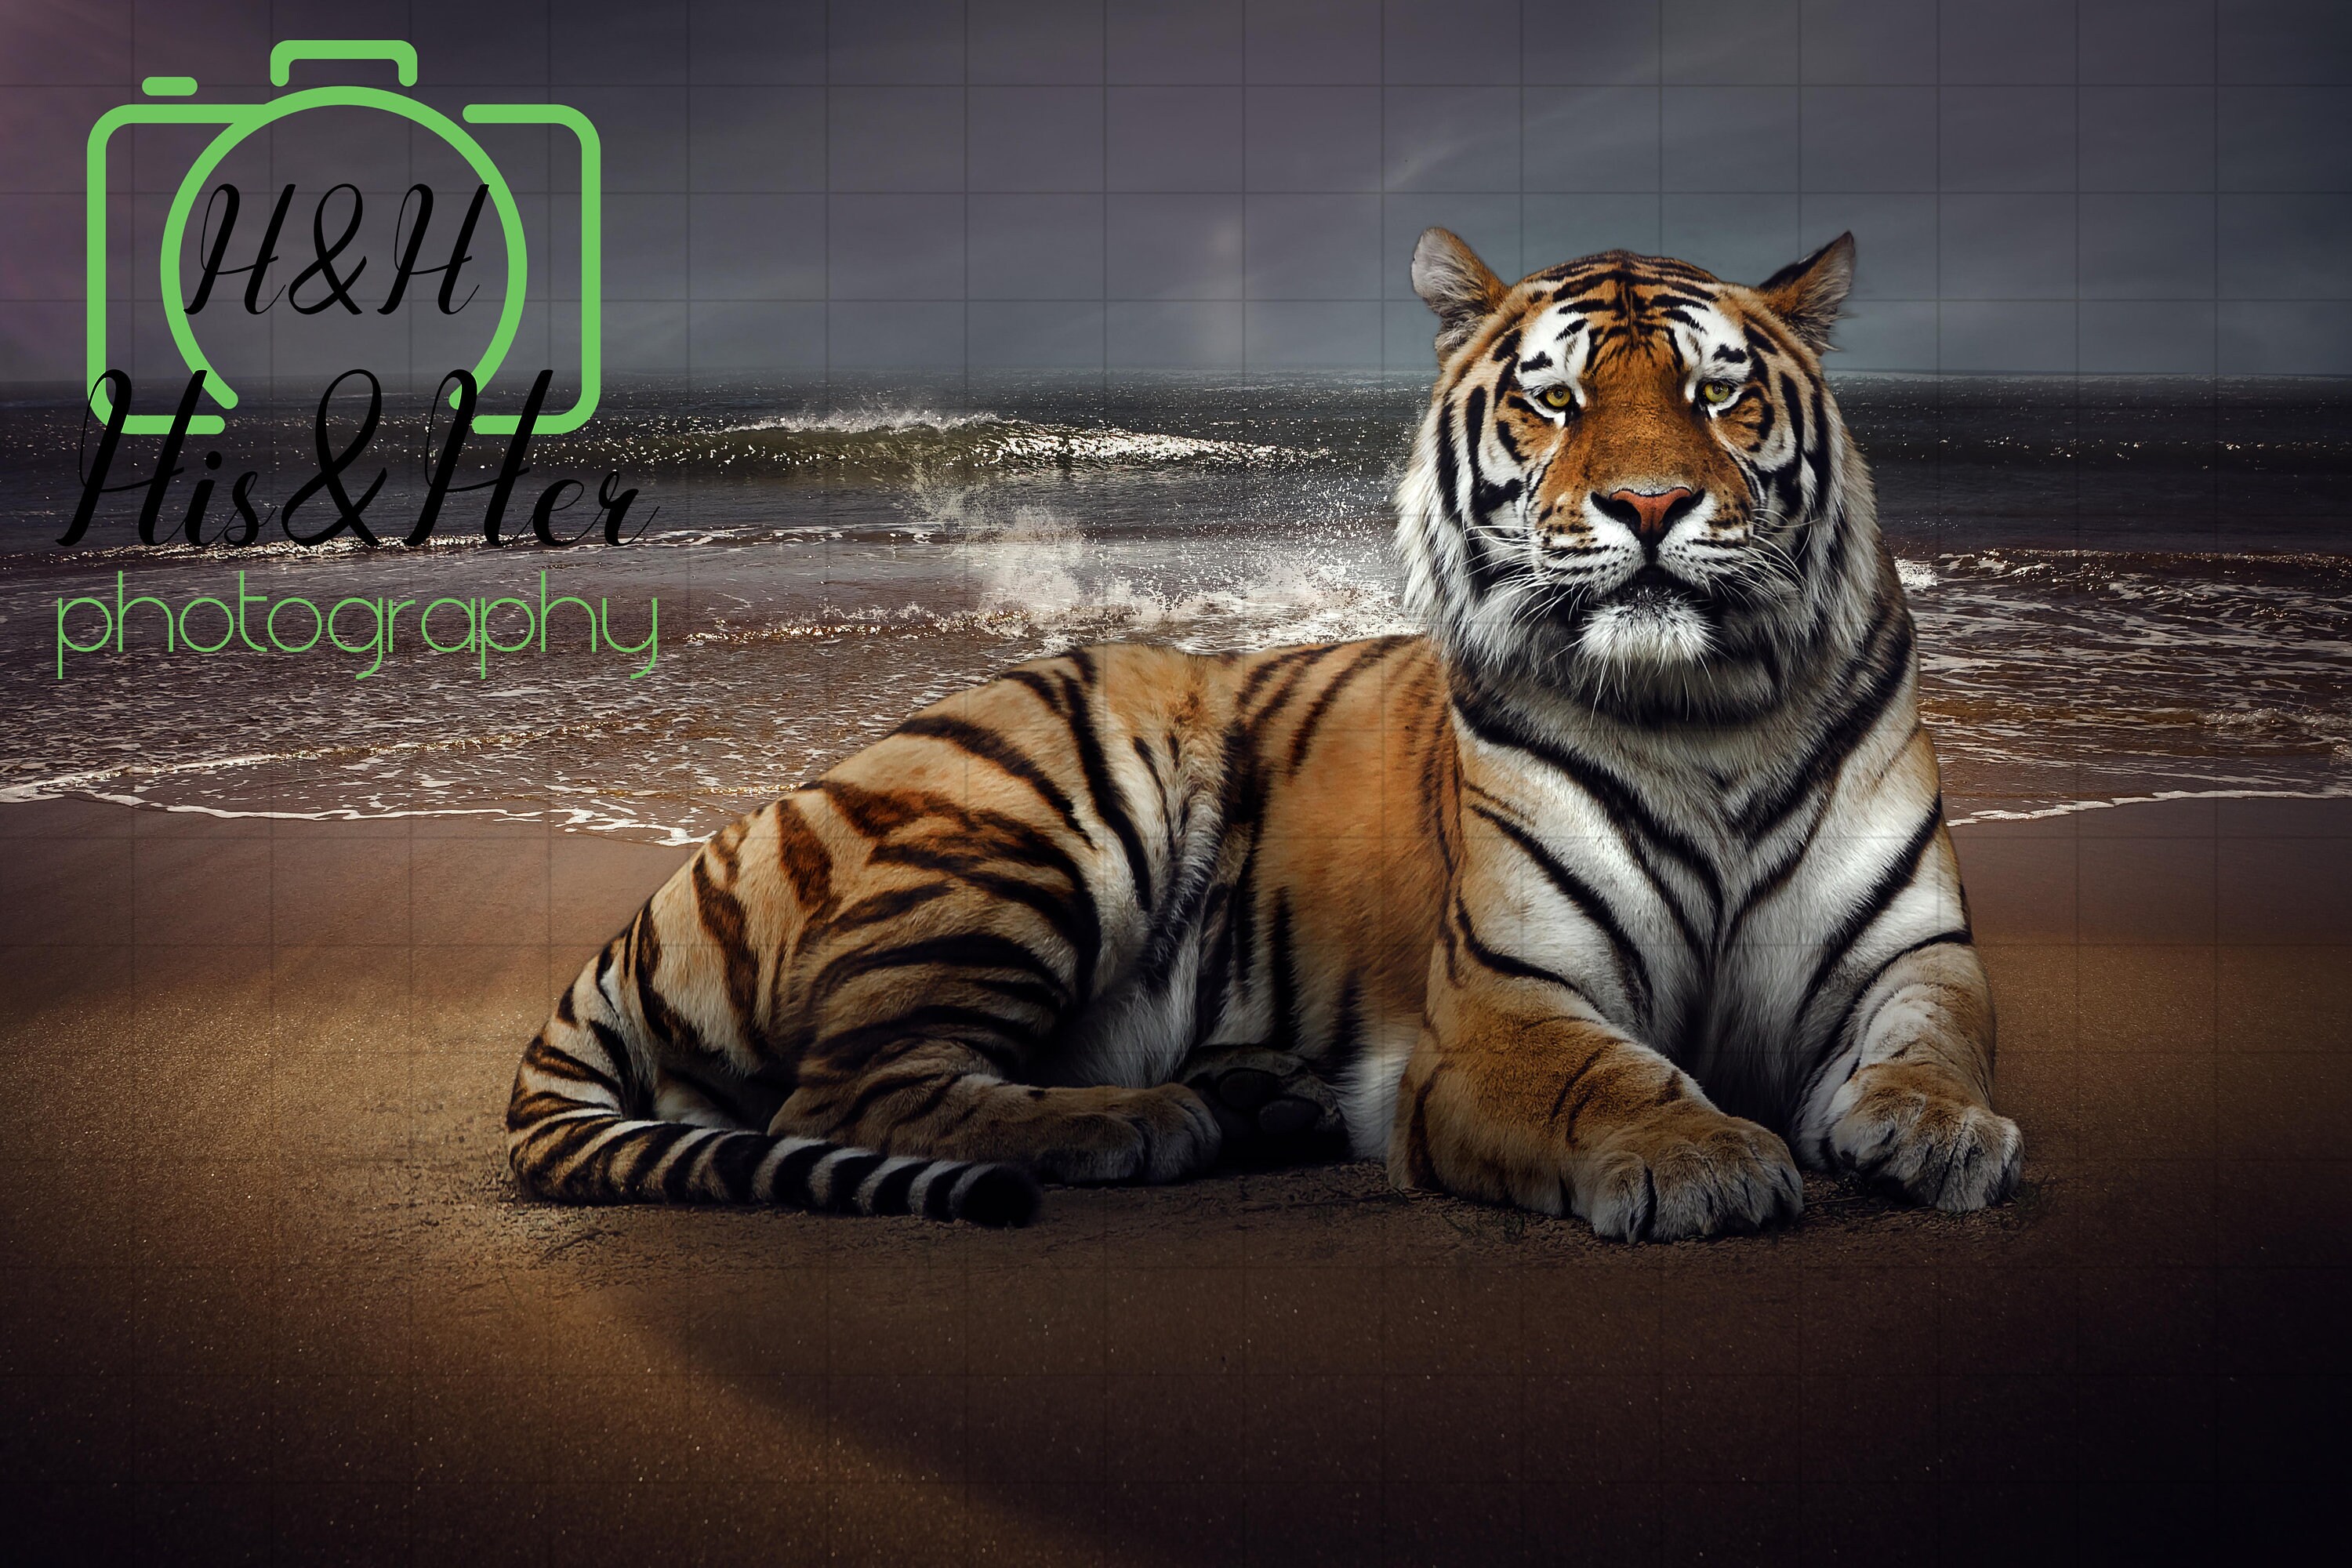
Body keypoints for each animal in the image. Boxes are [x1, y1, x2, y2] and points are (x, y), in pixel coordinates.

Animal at [505, 228, 2022, 1238]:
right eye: (1556, 399)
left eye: (1717, 393)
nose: (1651, 505)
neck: (1708, 719)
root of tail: (674, 888)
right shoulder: (1511, 1002)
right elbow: (1606, 1074)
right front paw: (1700, 1157)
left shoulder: (1913, 952)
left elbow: (1934, 1042)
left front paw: (1944, 1135)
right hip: (1050, 813)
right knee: (844, 1093)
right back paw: (1147, 1121)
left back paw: (1259, 1105)